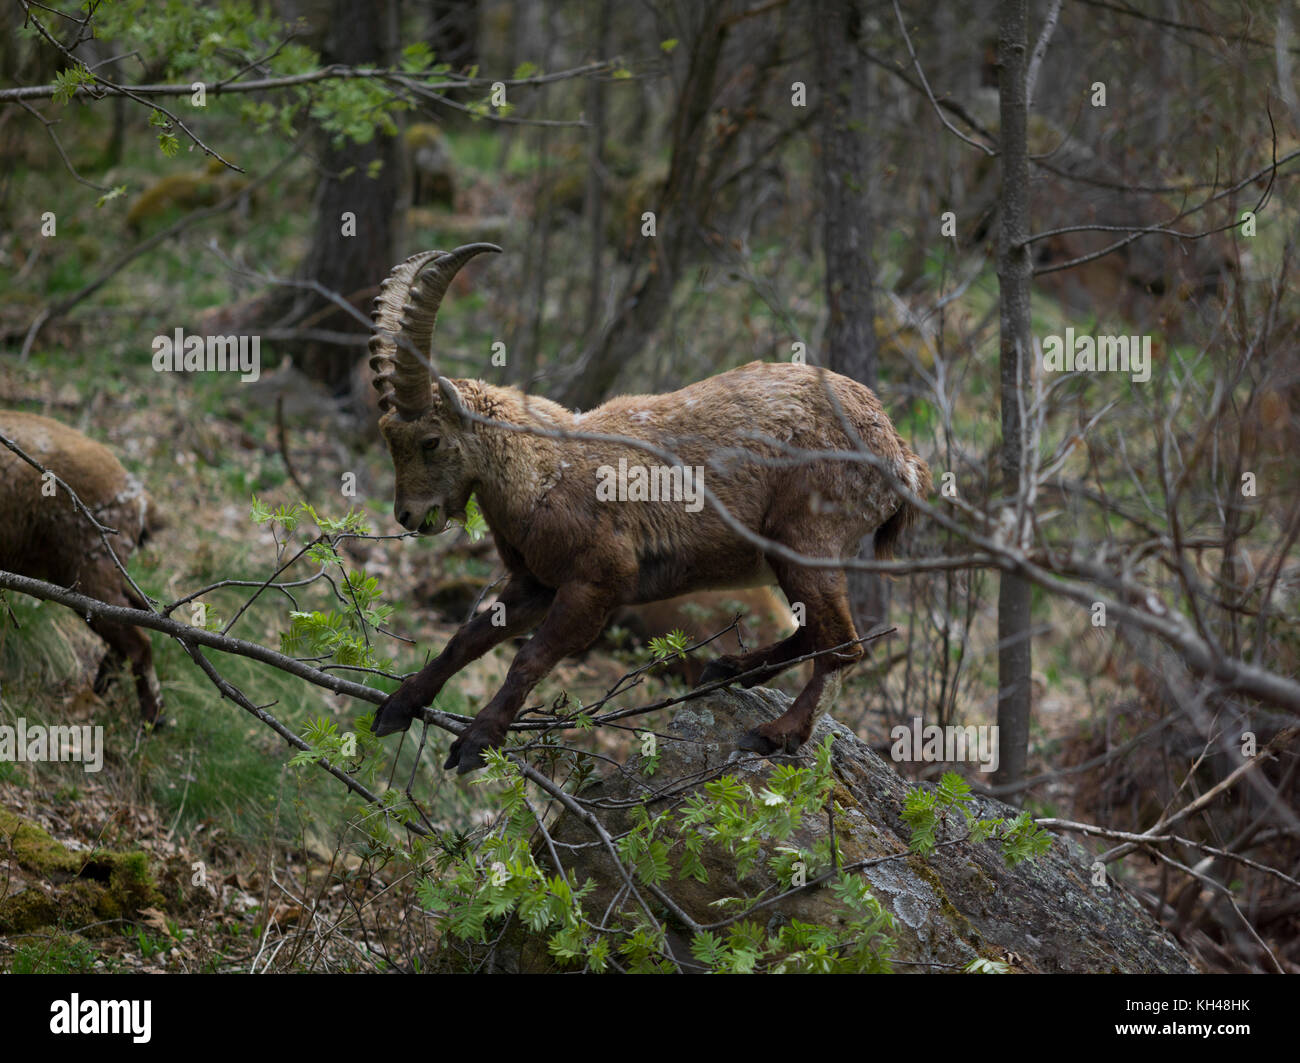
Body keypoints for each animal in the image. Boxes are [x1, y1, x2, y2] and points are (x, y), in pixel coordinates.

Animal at [367, 244, 931, 773]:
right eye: (389, 436)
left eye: (431, 440)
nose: (408, 517)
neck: (543, 470)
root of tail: (897, 452)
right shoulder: (535, 583)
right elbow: (468, 639)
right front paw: (398, 706)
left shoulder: (597, 582)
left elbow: (528, 657)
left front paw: (475, 743)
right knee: (816, 634)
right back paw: (730, 670)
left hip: (805, 541)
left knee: (842, 645)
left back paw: (774, 733)